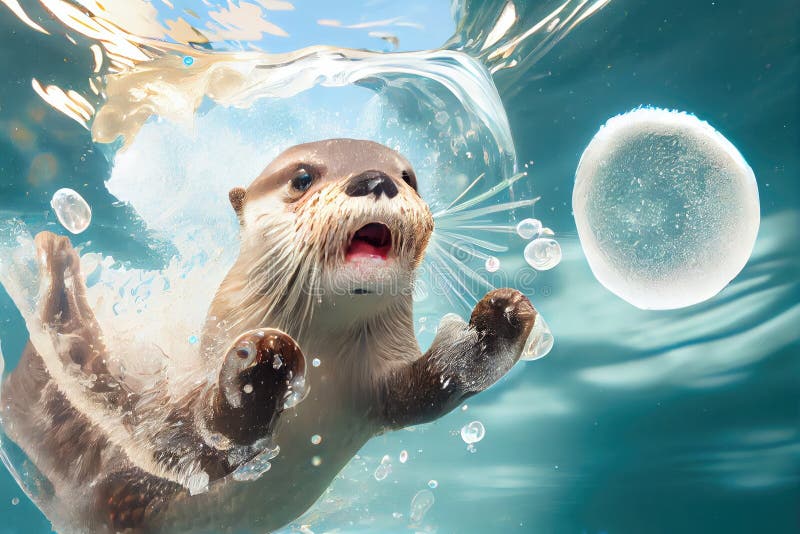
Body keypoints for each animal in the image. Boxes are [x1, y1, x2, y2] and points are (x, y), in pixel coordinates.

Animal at [1, 139, 536, 532]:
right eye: (302, 178)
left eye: (409, 177)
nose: (377, 179)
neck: (324, 369)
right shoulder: (156, 444)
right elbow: (197, 443)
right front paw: (265, 356)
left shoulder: (373, 389)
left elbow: (428, 391)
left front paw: (500, 321)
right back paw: (58, 262)